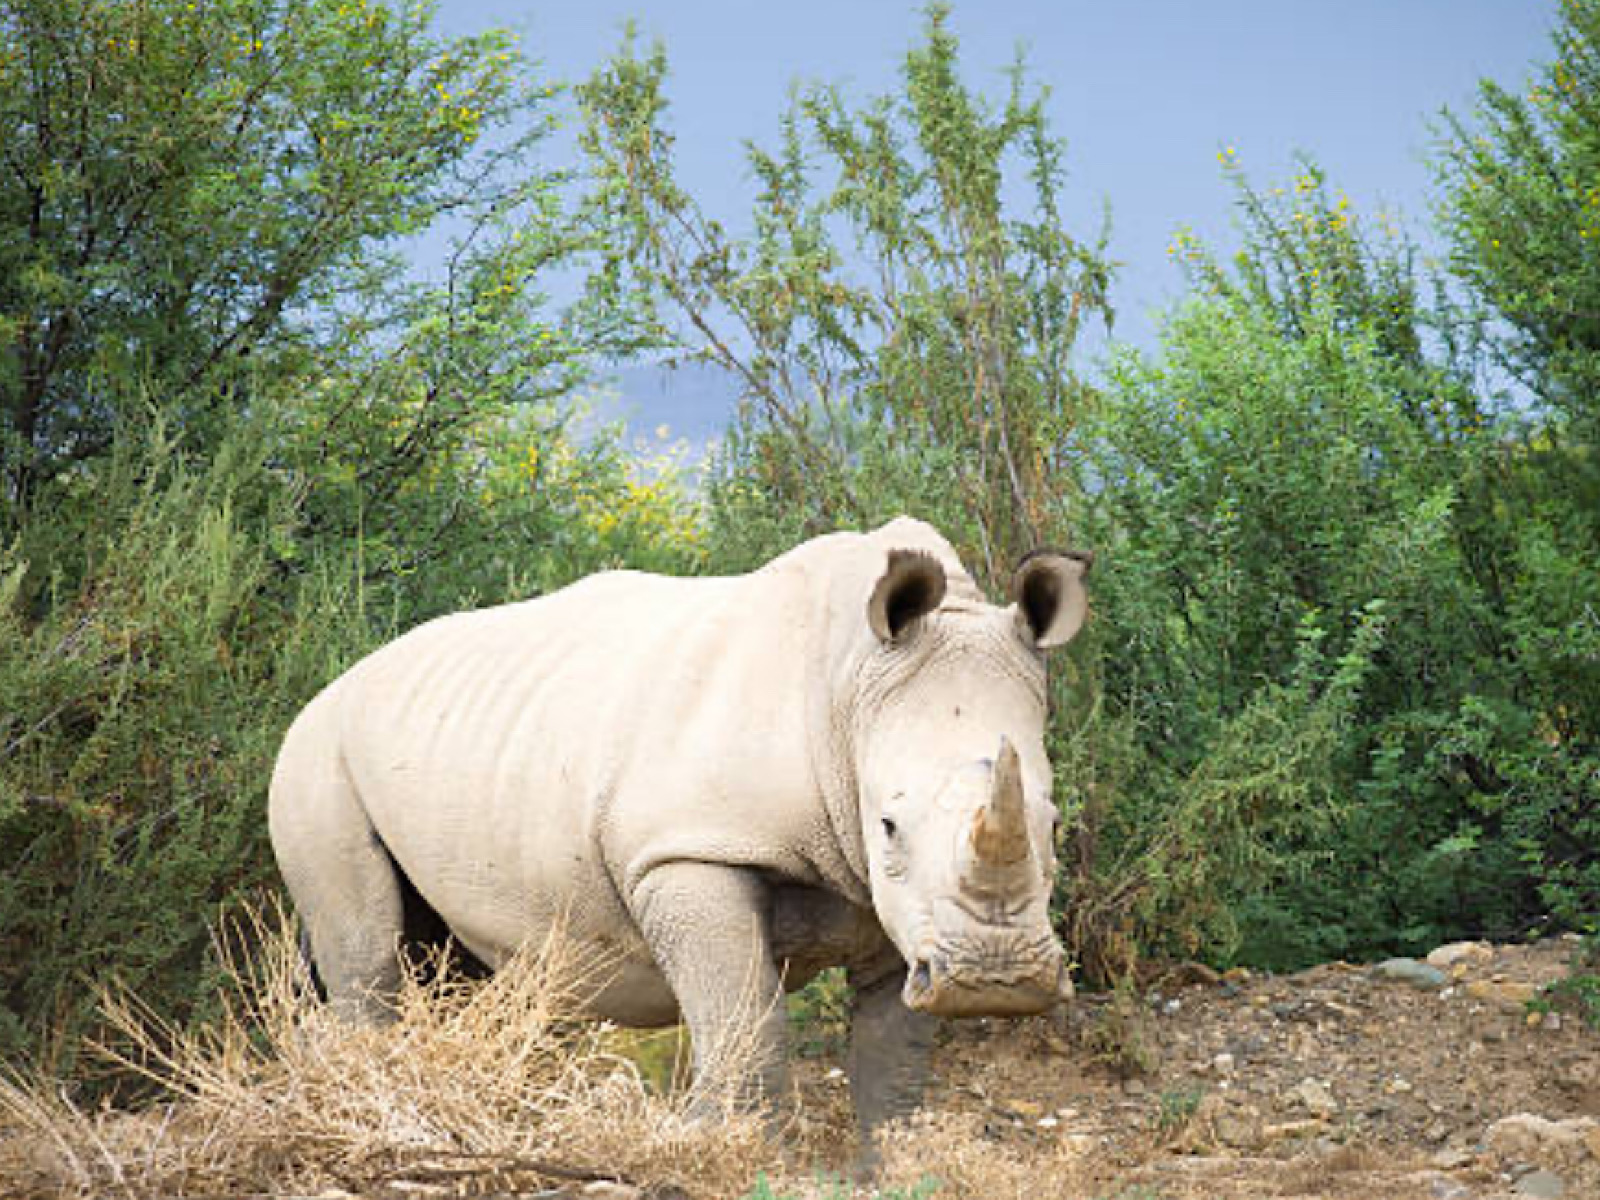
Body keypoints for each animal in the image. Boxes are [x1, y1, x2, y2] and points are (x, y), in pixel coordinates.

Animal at [269, 516, 1090, 1146]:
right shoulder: (687, 851)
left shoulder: (901, 916)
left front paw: (889, 1161)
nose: (996, 980)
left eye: (1053, 825)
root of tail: (334, 681)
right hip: (314, 756)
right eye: (888, 826)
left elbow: (893, 1063)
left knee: (443, 963)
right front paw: (715, 1146)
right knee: (370, 954)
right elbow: (743, 1021)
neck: (851, 691)